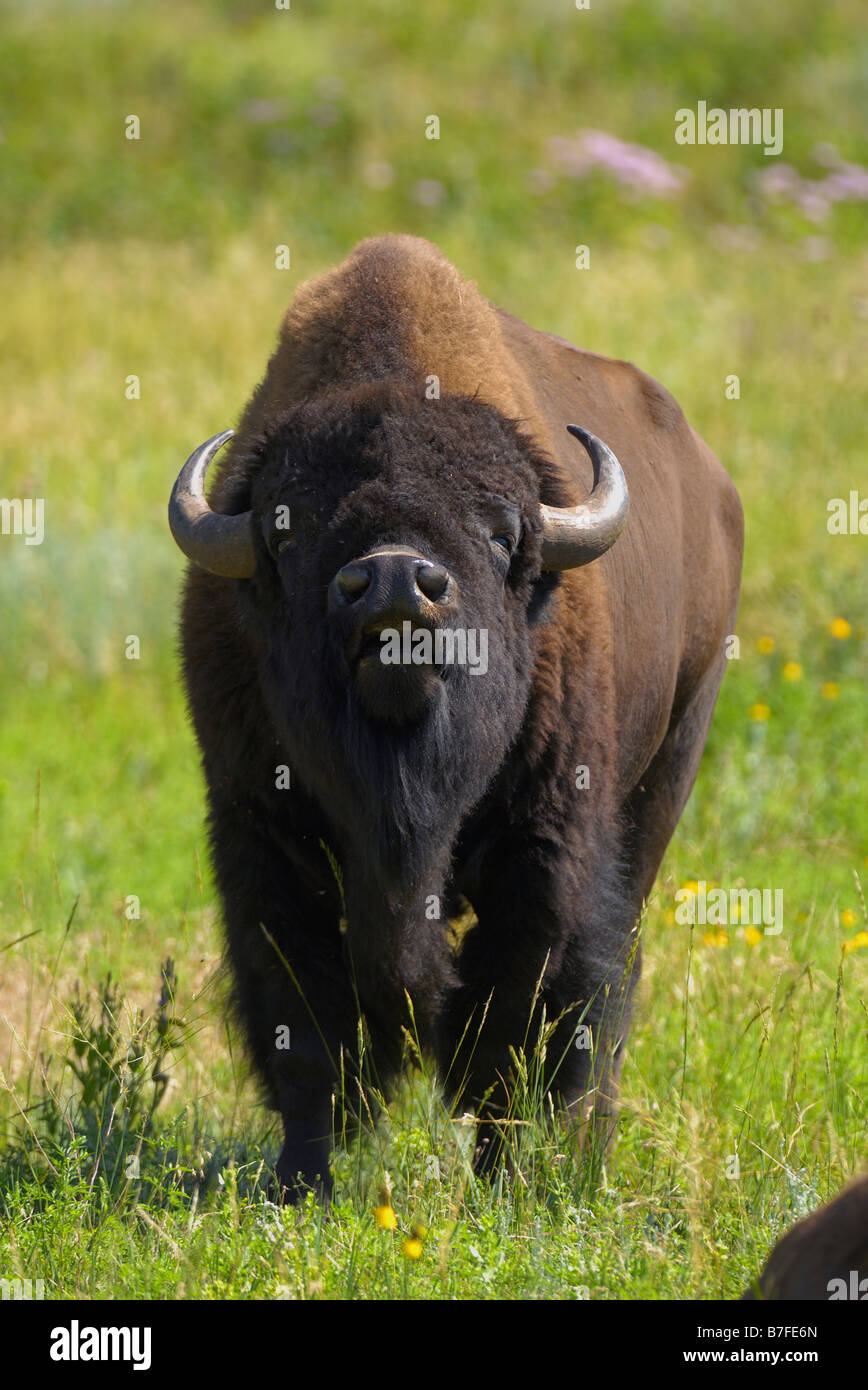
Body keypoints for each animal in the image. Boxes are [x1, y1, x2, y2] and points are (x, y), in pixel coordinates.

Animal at [169, 235, 743, 1200]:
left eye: (504, 533)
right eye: (285, 532)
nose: (396, 581)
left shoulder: (544, 849)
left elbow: (510, 1023)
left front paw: (501, 1185)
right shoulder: (262, 838)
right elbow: (303, 1025)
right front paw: (300, 1186)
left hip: (668, 772)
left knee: (610, 989)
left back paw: (584, 1159)